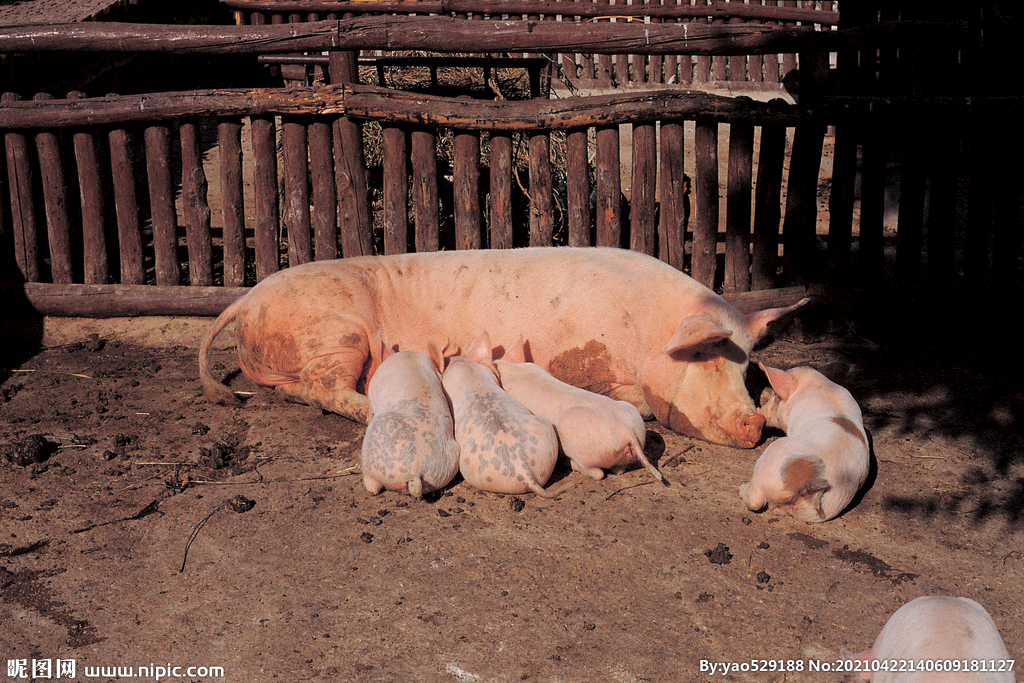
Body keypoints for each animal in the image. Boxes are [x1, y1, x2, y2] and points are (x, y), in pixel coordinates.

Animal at [199, 247, 807, 447]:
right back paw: (368, 405)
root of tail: (246, 300)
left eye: (747, 366)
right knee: (324, 387)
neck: (644, 333)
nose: (754, 424)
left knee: (299, 389)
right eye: (705, 355)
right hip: (335, 332)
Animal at [360, 338, 460, 498]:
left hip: (372, 458)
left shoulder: (372, 394)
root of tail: (413, 471)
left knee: (372, 485)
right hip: (448, 463)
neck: (410, 359)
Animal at [490, 340, 661, 482]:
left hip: (578, 441)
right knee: (619, 470)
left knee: (598, 473)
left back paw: (570, 463)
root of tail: (626, 430)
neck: (511, 371)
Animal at [738, 363, 869, 523]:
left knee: (755, 499)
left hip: (773, 455)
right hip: (819, 510)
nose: (761, 412)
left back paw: (740, 487)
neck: (821, 386)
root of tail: (810, 484)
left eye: (777, 397)